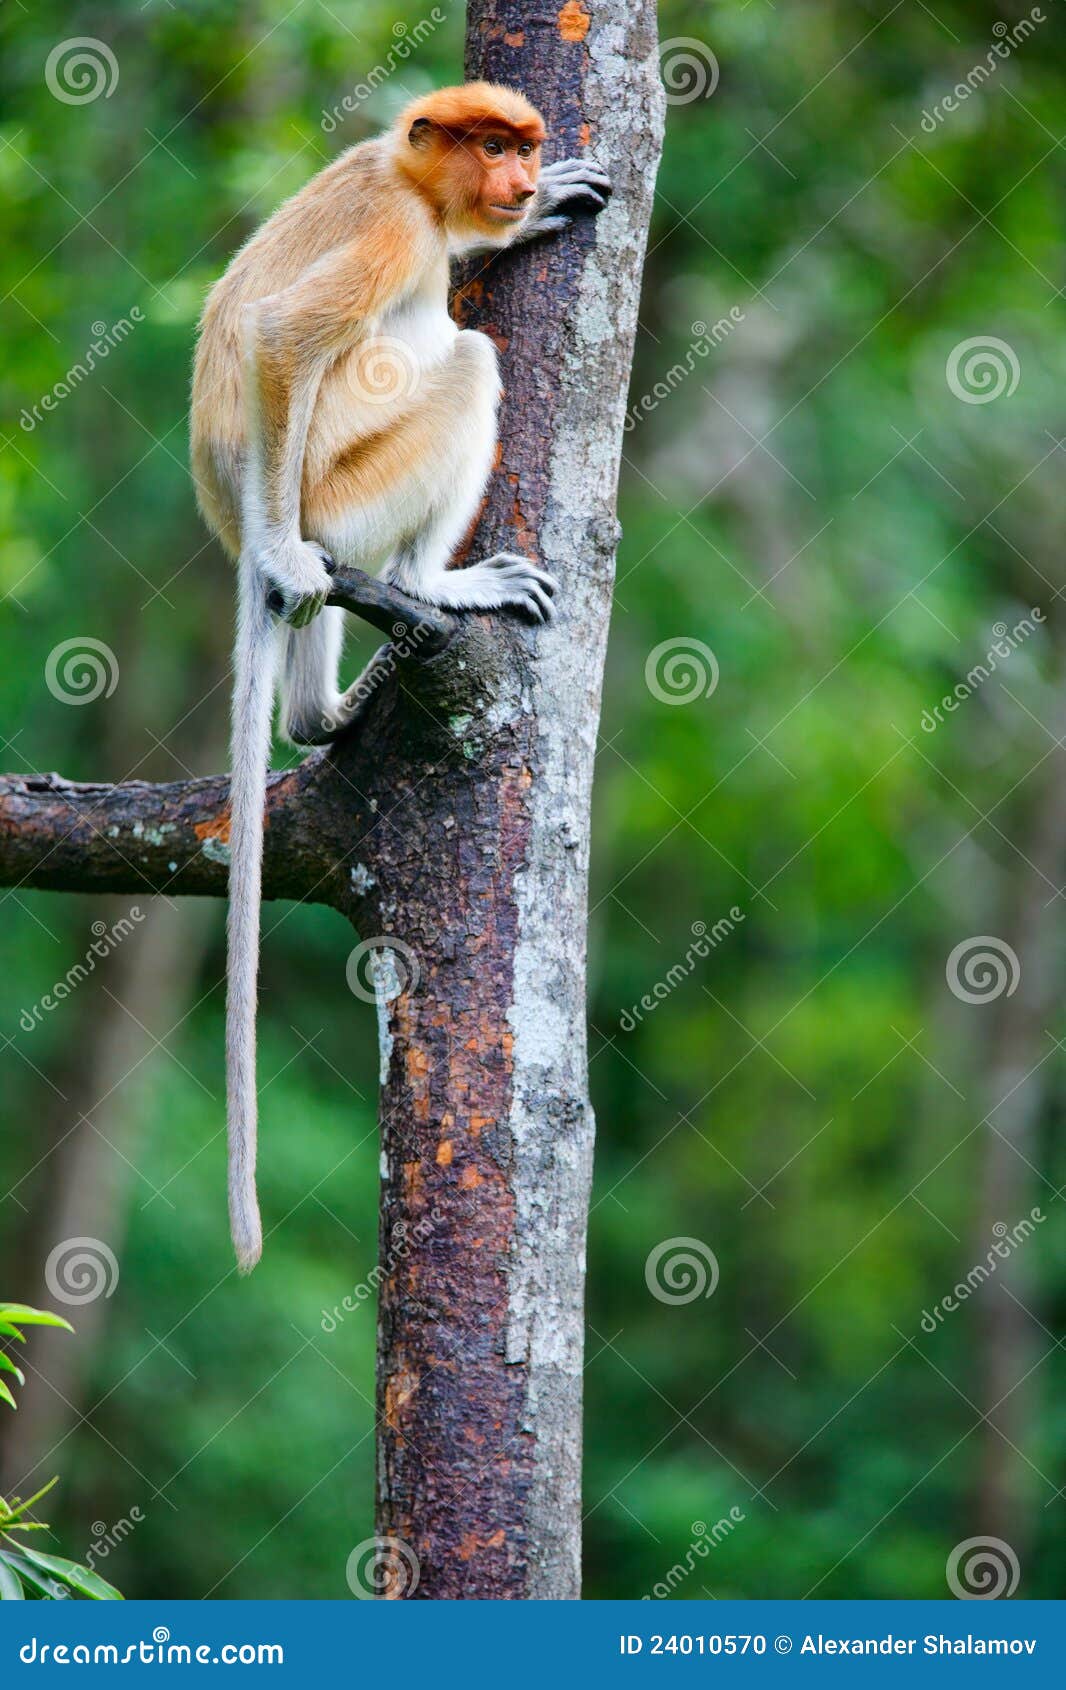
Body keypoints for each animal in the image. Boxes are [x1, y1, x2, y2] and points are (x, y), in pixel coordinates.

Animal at [189, 83, 610, 1273]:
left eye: (519, 146)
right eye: (489, 143)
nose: (518, 177)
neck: (408, 181)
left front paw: (542, 210)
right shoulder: (394, 233)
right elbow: (285, 337)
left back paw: (319, 708)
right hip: (336, 492)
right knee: (462, 361)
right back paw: (413, 584)